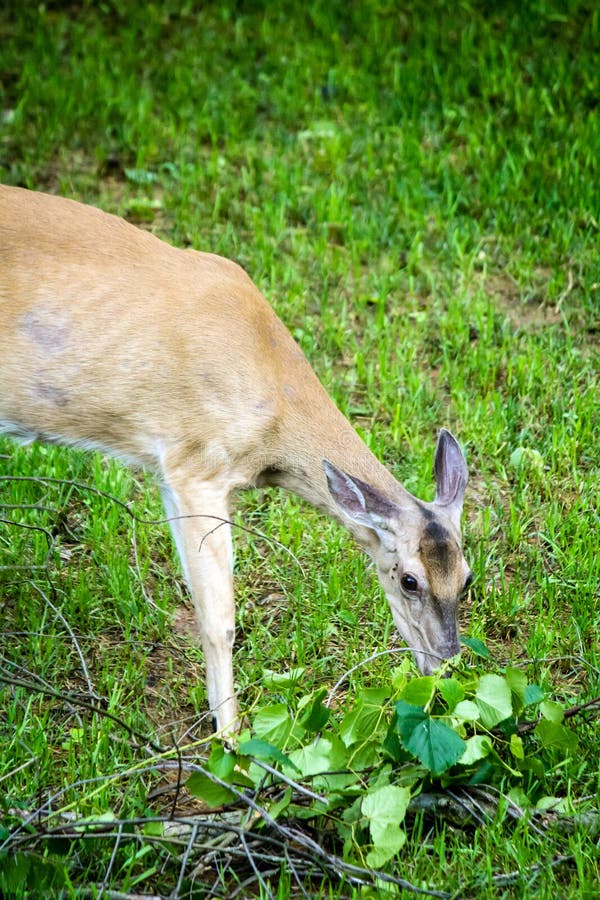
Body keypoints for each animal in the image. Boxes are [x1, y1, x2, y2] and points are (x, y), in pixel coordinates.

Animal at [0, 185, 472, 734]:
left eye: (467, 577)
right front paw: (230, 736)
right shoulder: (197, 465)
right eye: (409, 579)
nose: (445, 663)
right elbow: (219, 620)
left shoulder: (170, 474)